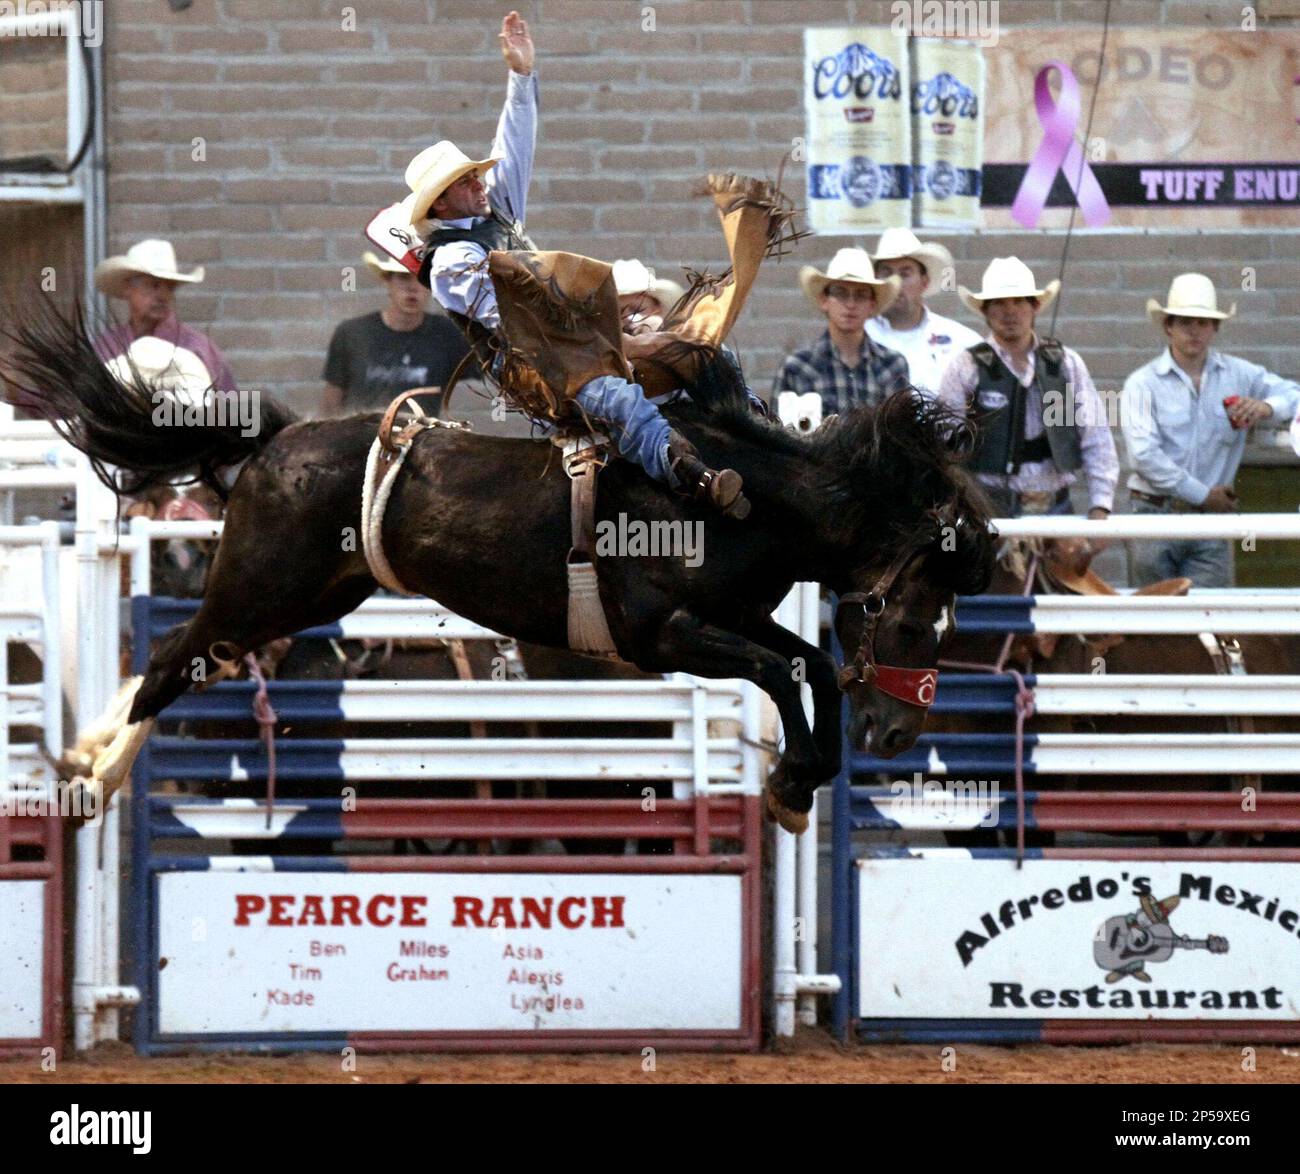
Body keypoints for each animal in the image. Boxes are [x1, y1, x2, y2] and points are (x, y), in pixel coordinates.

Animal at [4, 302, 996, 831]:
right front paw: (793, 781)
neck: (734, 495)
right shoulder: (667, 634)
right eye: (913, 618)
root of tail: (282, 437)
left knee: (176, 661)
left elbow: (814, 664)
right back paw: (90, 783)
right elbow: (788, 670)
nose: (900, 734)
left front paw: (794, 788)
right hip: (257, 587)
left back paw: (85, 759)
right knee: (169, 662)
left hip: (297, 598)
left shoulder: (739, 618)